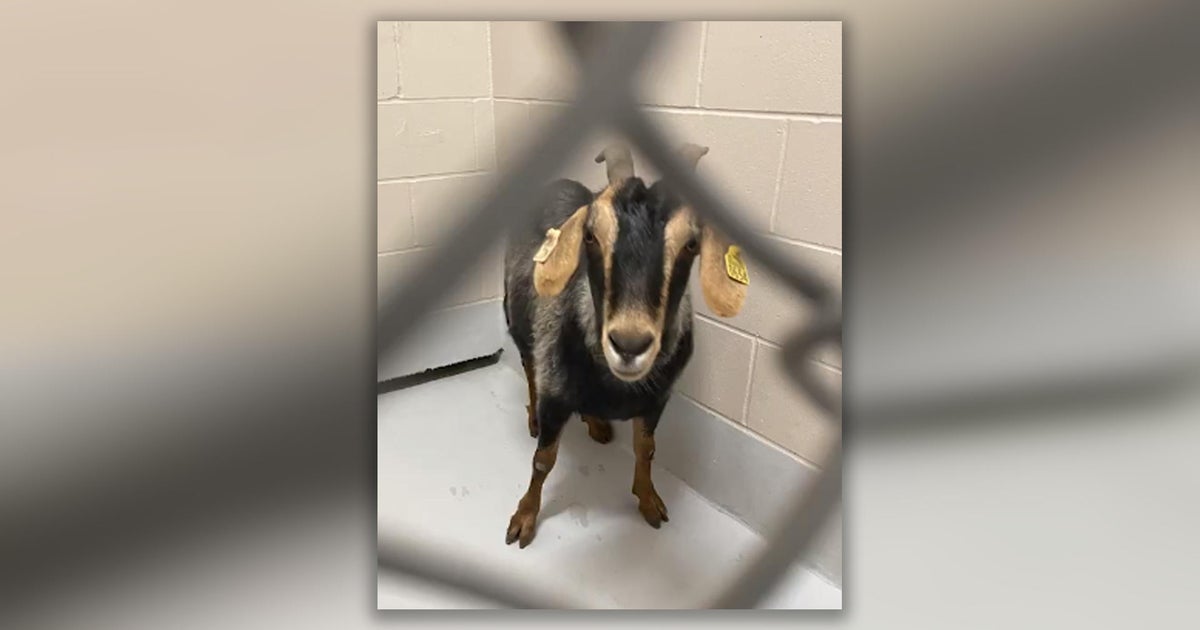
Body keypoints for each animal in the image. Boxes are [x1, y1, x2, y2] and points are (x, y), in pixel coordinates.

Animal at [502, 142, 748, 548]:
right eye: (590, 236)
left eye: (691, 243)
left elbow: (647, 450)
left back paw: (597, 424)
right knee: (527, 366)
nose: (630, 343)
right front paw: (524, 518)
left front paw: (649, 502)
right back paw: (534, 418)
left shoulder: (657, 401)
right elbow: (543, 459)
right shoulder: (556, 392)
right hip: (516, 320)